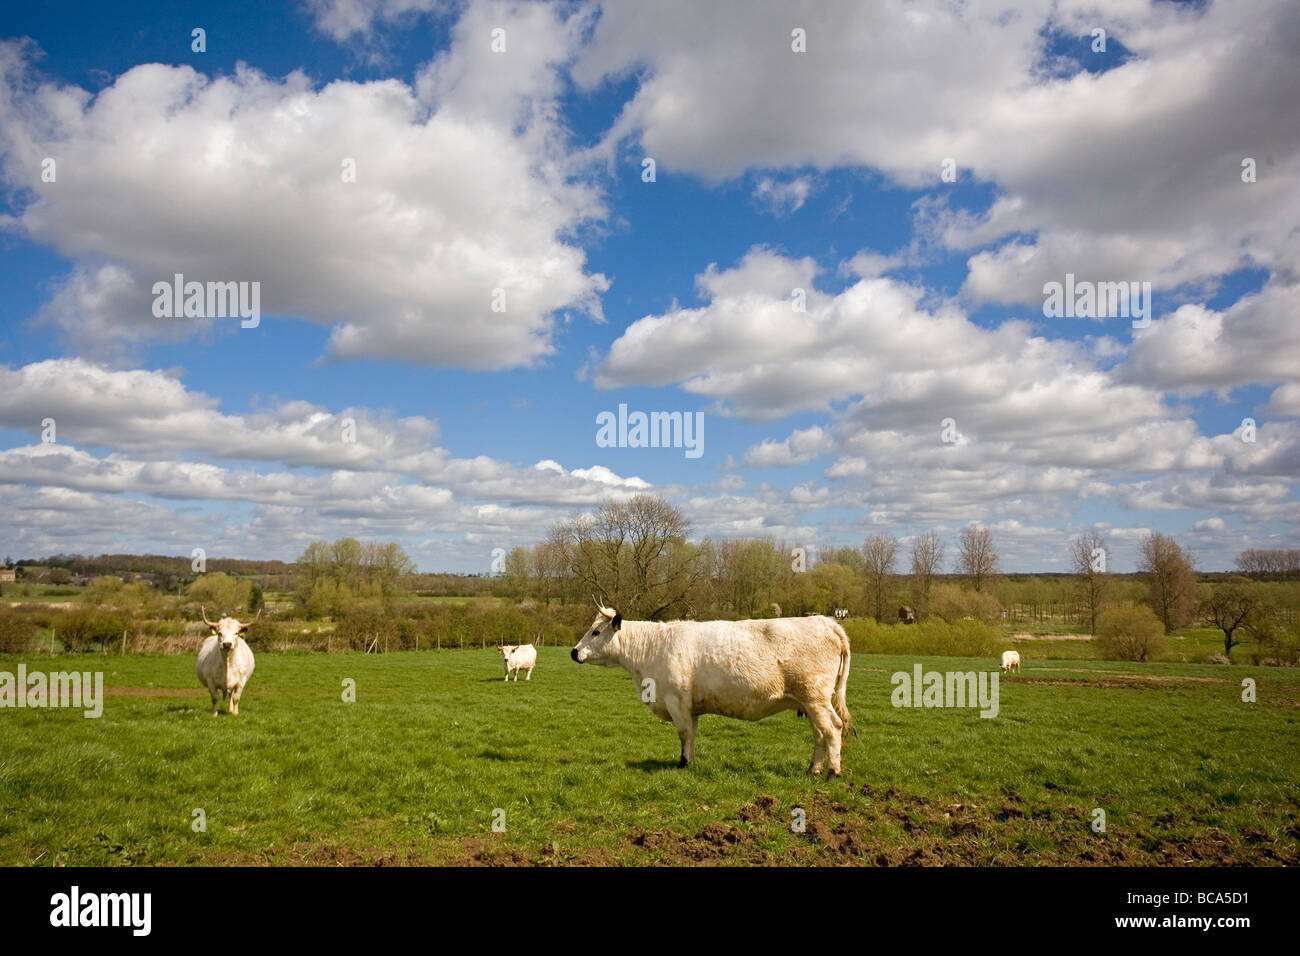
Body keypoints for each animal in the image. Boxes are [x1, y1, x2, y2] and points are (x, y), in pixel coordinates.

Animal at [571, 604, 854, 775]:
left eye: (595, 632)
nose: (574, 652)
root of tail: (826, 622)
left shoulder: (676, 701)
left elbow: (684, 734)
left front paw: (683, 763)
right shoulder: (690, 706)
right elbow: (692, 735)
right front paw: (690, 762)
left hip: (815, 698)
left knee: (833, 728)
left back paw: (833, 772)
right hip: (810, 702)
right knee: (820, 733)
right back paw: (813, 769)